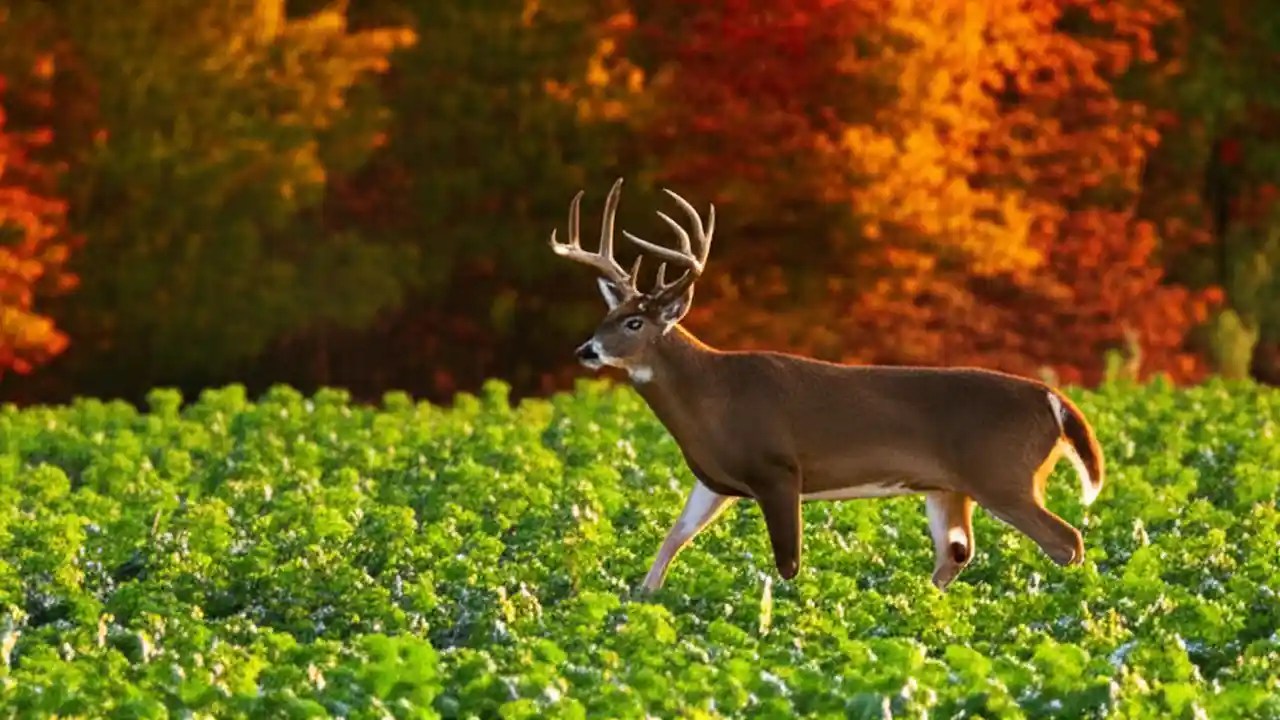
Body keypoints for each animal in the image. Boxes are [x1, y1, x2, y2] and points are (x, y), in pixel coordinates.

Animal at [548, 178, 1105, 593]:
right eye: (606, 316)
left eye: (634, 323)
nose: (585, 351)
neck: (710, 398)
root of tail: (1055, 400)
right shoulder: (714, 479)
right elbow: (670, 541)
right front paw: (641, 600)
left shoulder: (778, 468)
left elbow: (788, 564)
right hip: (951, 487)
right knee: (956, 554)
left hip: (1004, 475)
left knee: (1067, 539)